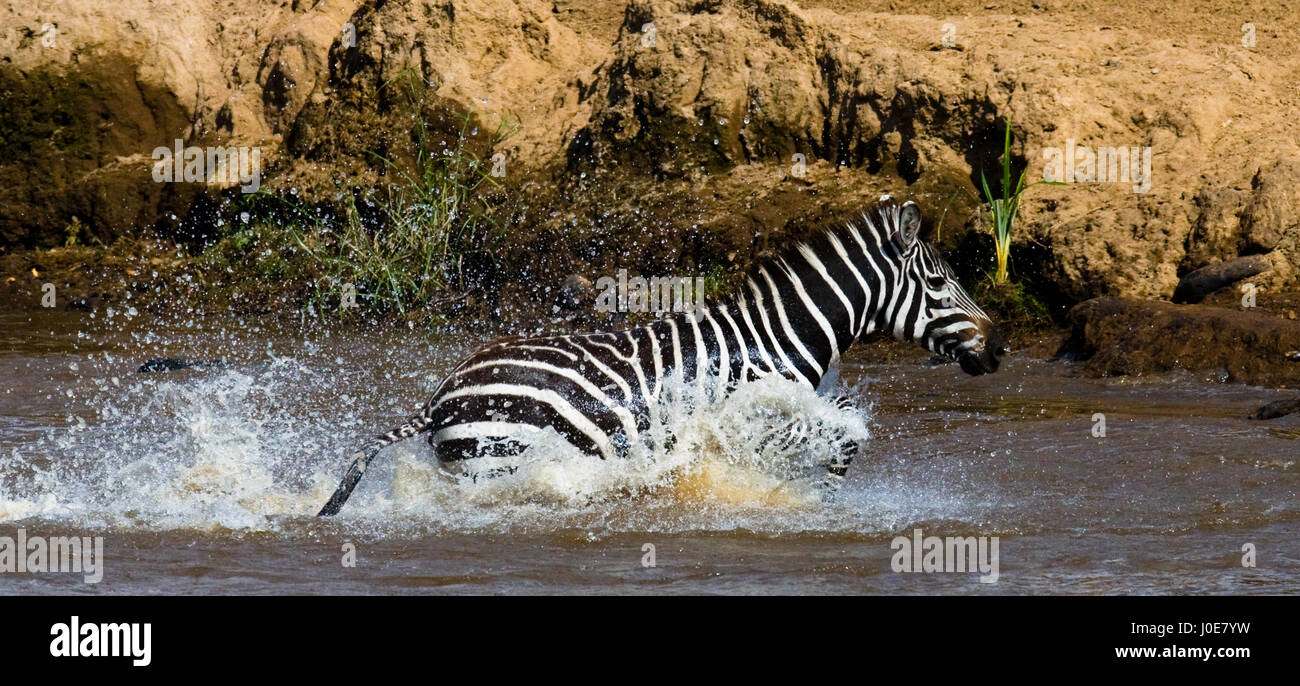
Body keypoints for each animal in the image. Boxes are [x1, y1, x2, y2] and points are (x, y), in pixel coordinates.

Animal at [316, 195, 1004, 516]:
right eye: (938, 283)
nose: (999, 348)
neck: (775, 337)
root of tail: (438, 398)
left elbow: (846, 435)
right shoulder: (754, 423)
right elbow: (846, 439)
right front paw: (807, 496)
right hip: (498, 465)